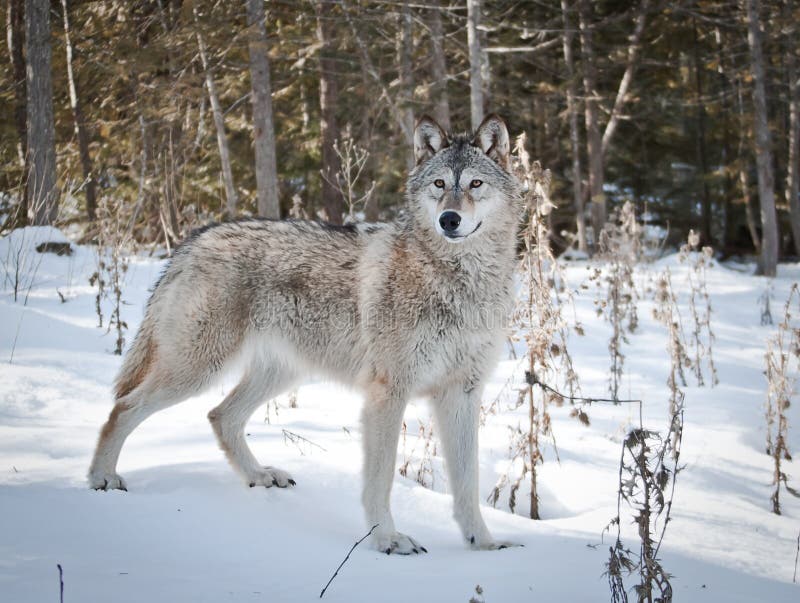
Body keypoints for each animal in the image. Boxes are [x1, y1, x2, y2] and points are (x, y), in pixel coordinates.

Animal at [88, 114, 523, 554]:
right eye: (439, 184)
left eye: (474, 184)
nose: (449, 219)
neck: (458, 280)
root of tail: (192, 242)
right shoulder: (388, 394)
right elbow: (380, 481)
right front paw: (387, 539)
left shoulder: (462, 394)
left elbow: (467, 484)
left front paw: (484, 544)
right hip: (196, 371)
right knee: (123, 407)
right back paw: (102, 478)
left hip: (279, 374)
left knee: (220, 415)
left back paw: (259, 476)